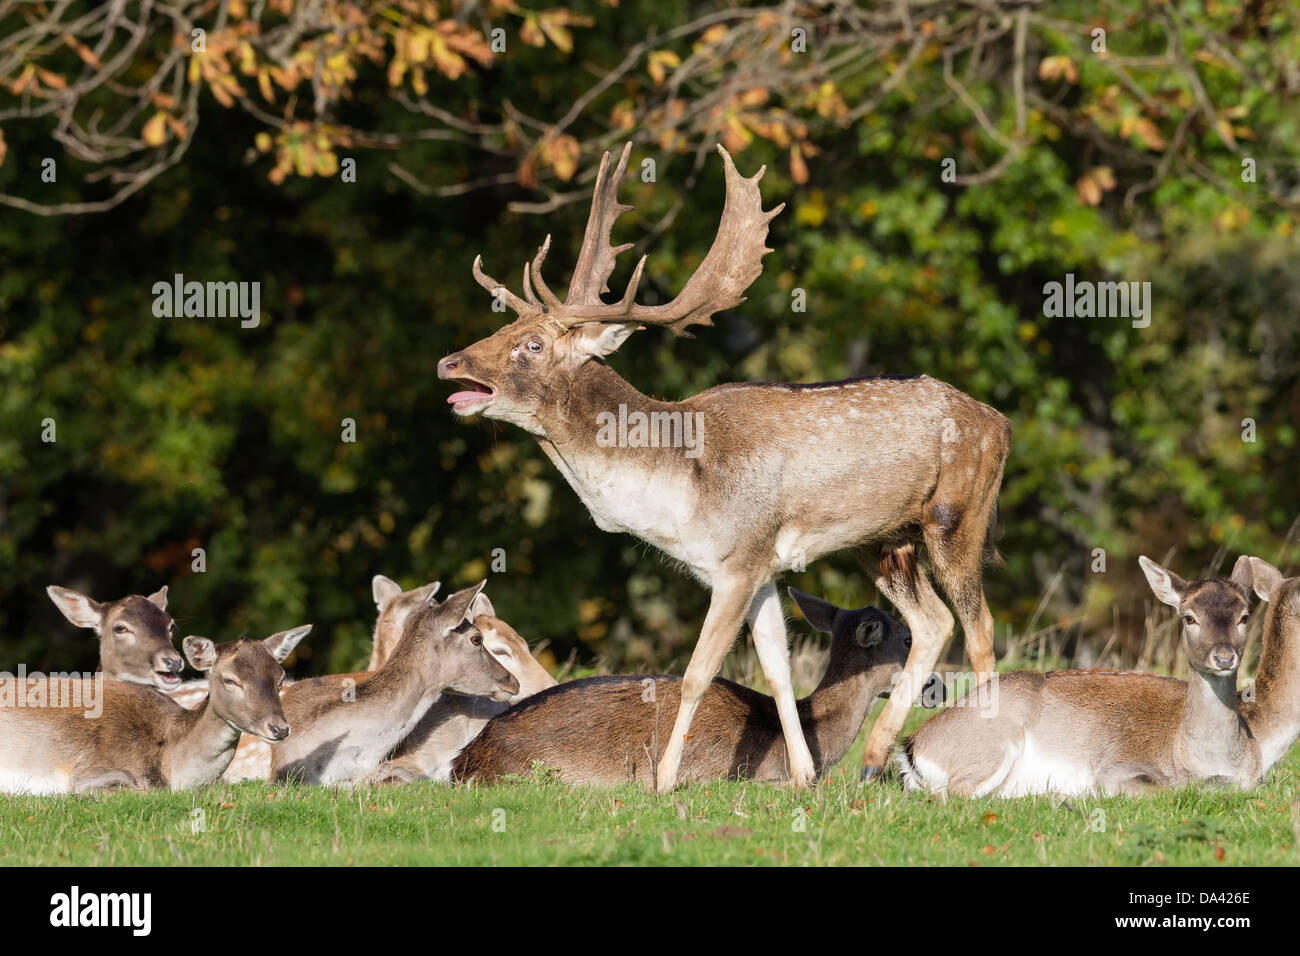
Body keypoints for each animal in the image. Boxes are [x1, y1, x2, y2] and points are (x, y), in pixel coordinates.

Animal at [898, 556, 1262, 798]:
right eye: (1189, 617)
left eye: (1244, 616)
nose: (1224, 656)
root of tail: (912, 748)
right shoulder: (1117, 769)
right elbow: (1165, 791)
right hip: (992, 746)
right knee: (951, 795)